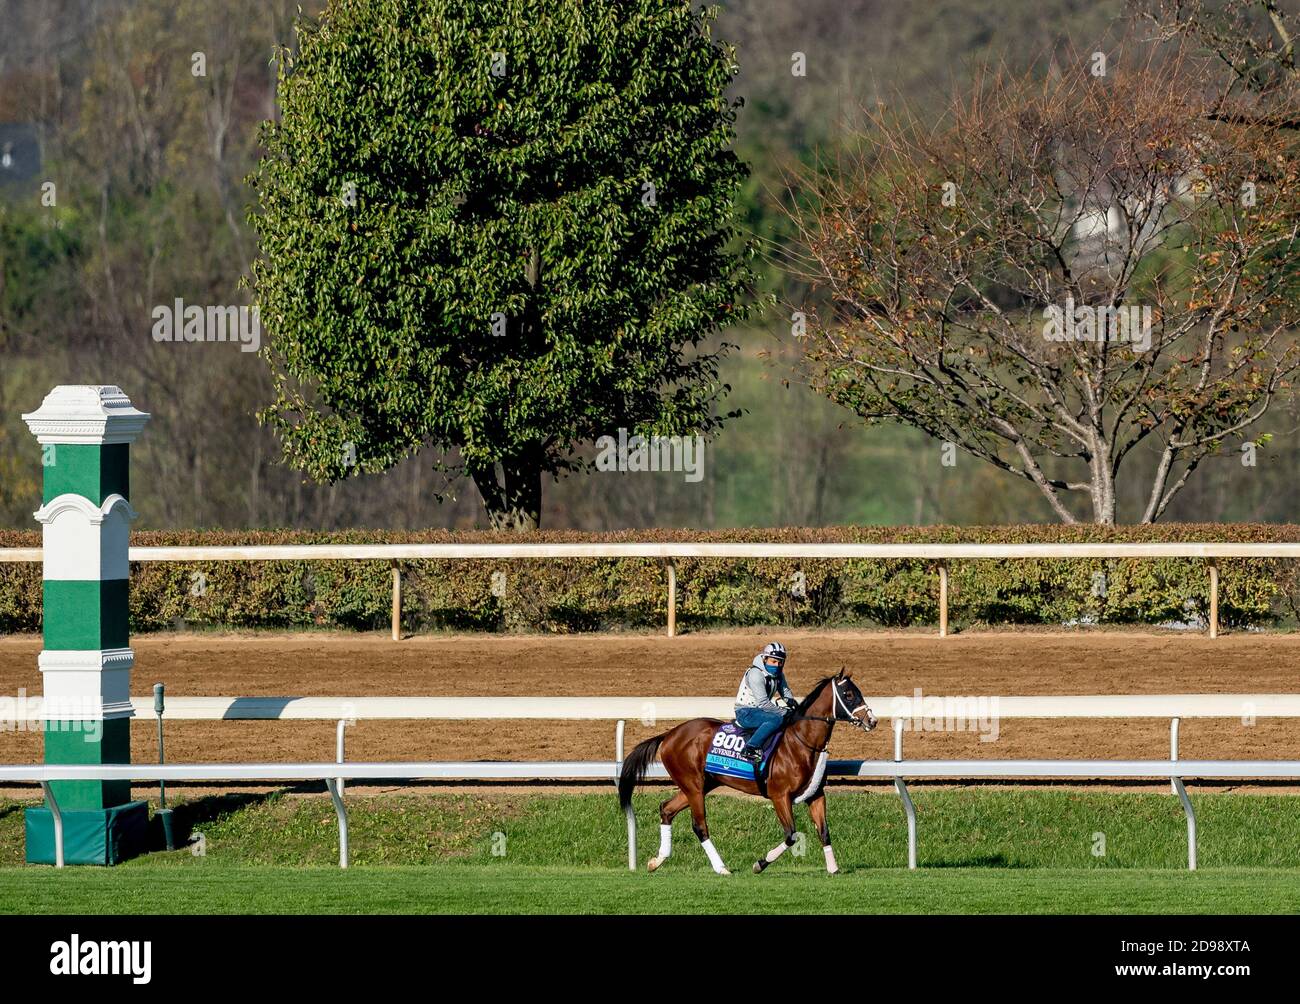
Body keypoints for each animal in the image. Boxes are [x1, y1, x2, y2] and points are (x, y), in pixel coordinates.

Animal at [617, 669, 877, 876]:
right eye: (849, 695)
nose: (872, 720)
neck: (801, 742)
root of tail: (669, 735)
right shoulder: (780, 796)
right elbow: (791, 835)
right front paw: (760, 864)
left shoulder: (816, 795)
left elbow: (824, 832)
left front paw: (833, 868)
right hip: (693, 786)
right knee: (699, 826)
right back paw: (721, 868)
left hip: (700, 785)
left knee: (666, 809)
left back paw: (657, 861)